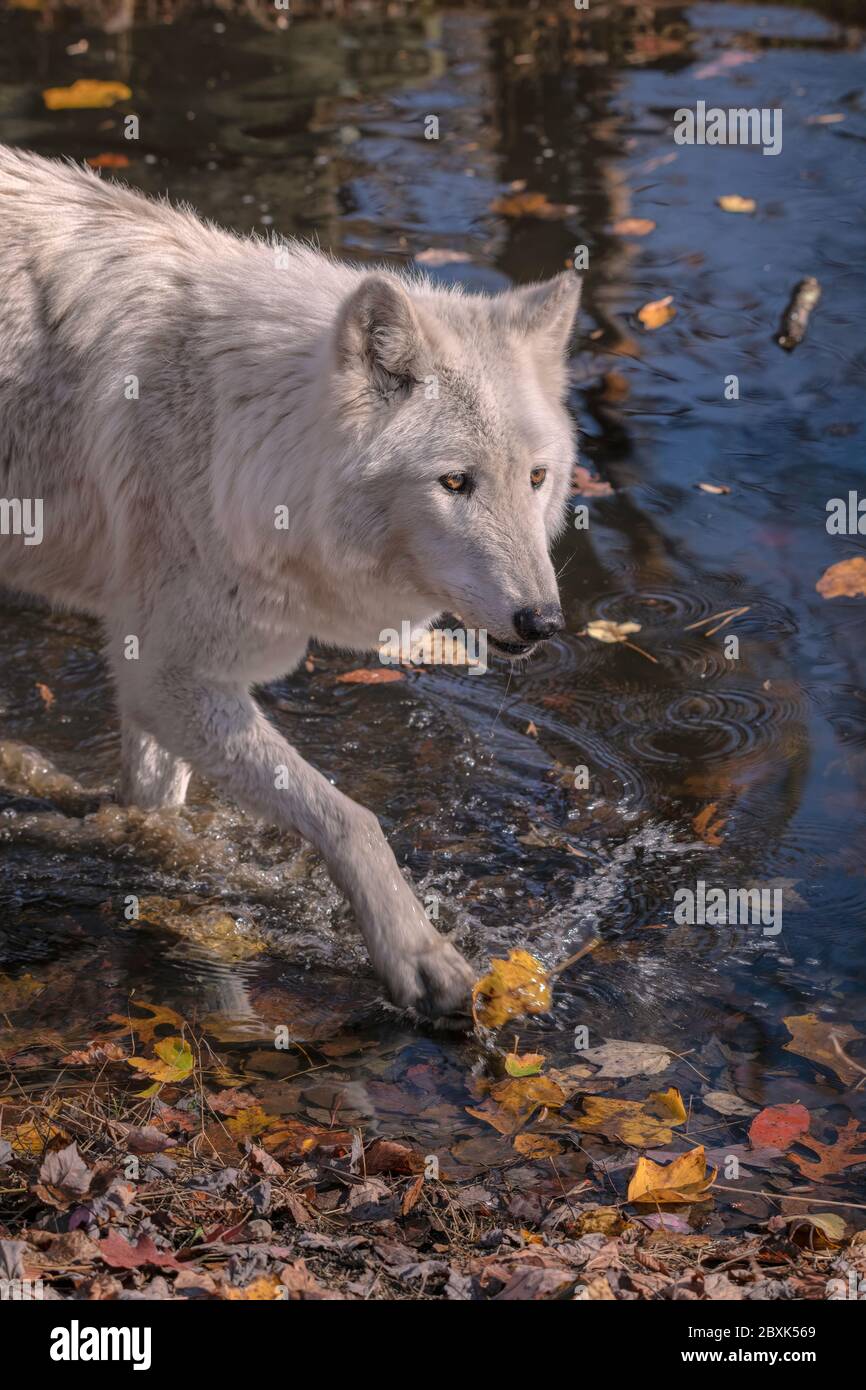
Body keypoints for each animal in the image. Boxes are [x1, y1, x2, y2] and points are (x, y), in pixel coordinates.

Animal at [0, 145, 580, 1018]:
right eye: (455, 483)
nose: (542, 621)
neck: (237, 430)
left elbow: (155, 806)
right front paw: (415, 951)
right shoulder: (171, 674)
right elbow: (351, 818)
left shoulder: (158, 673)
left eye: (537, 478)